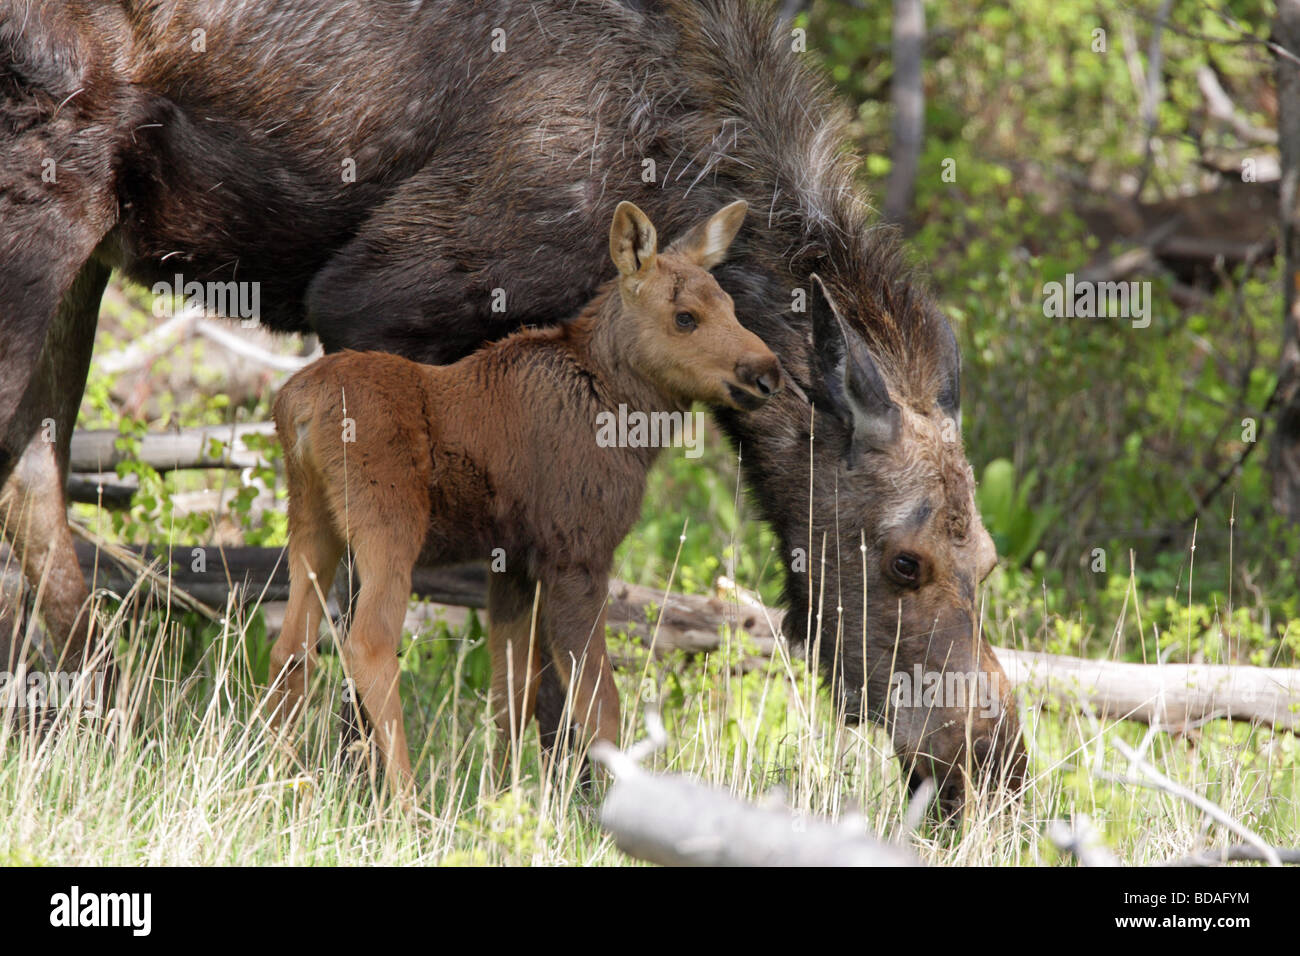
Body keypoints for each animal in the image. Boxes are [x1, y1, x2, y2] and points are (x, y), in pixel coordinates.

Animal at [268, 199, 782, 789]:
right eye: (685, 317)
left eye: (731, 306)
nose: (768, 373)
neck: (625, 417)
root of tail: (297, 407)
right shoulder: (576, 553)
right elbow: (599, 703)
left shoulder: (513, 562)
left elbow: (511, 694)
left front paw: (500, 794)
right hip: (388, 522)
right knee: (367, 643)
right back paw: (406, 799)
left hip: (313, 521)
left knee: (291, 647)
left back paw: (273, 775)